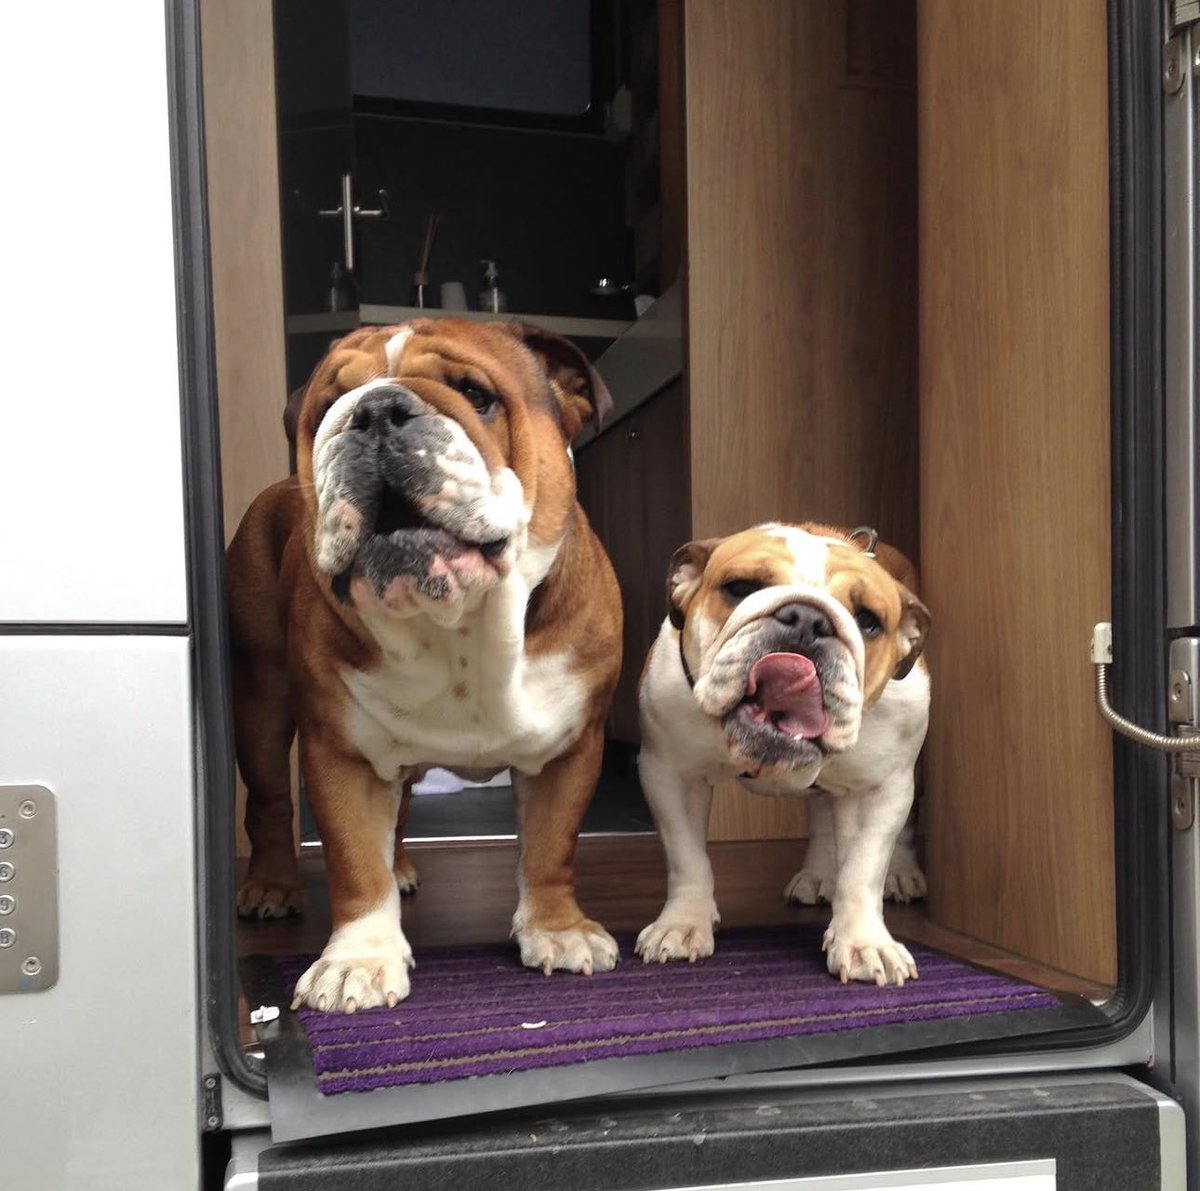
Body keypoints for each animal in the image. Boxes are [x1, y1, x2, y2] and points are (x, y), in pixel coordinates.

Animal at [227, 319, 622, 1012]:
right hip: (262, 702)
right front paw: (357, 960)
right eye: (328, 406)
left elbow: (551, 847)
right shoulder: (343, 754)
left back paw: (403, 868)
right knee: (271, 803)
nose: (374, 413)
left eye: (475, 394)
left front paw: (558, 930)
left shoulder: (571, 750)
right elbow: (356, 861)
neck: (457, 622)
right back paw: (273, 885)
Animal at [635, 522, 930, 986]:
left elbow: (862, 871)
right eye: (739, 588)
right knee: (822, 810)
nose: (808, 620)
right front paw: (682, 925)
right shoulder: (671, 774)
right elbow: (688, 858)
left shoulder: (877, 789)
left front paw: (865, 943)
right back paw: (817, 874)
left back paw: (900, 873)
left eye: (868, 621)